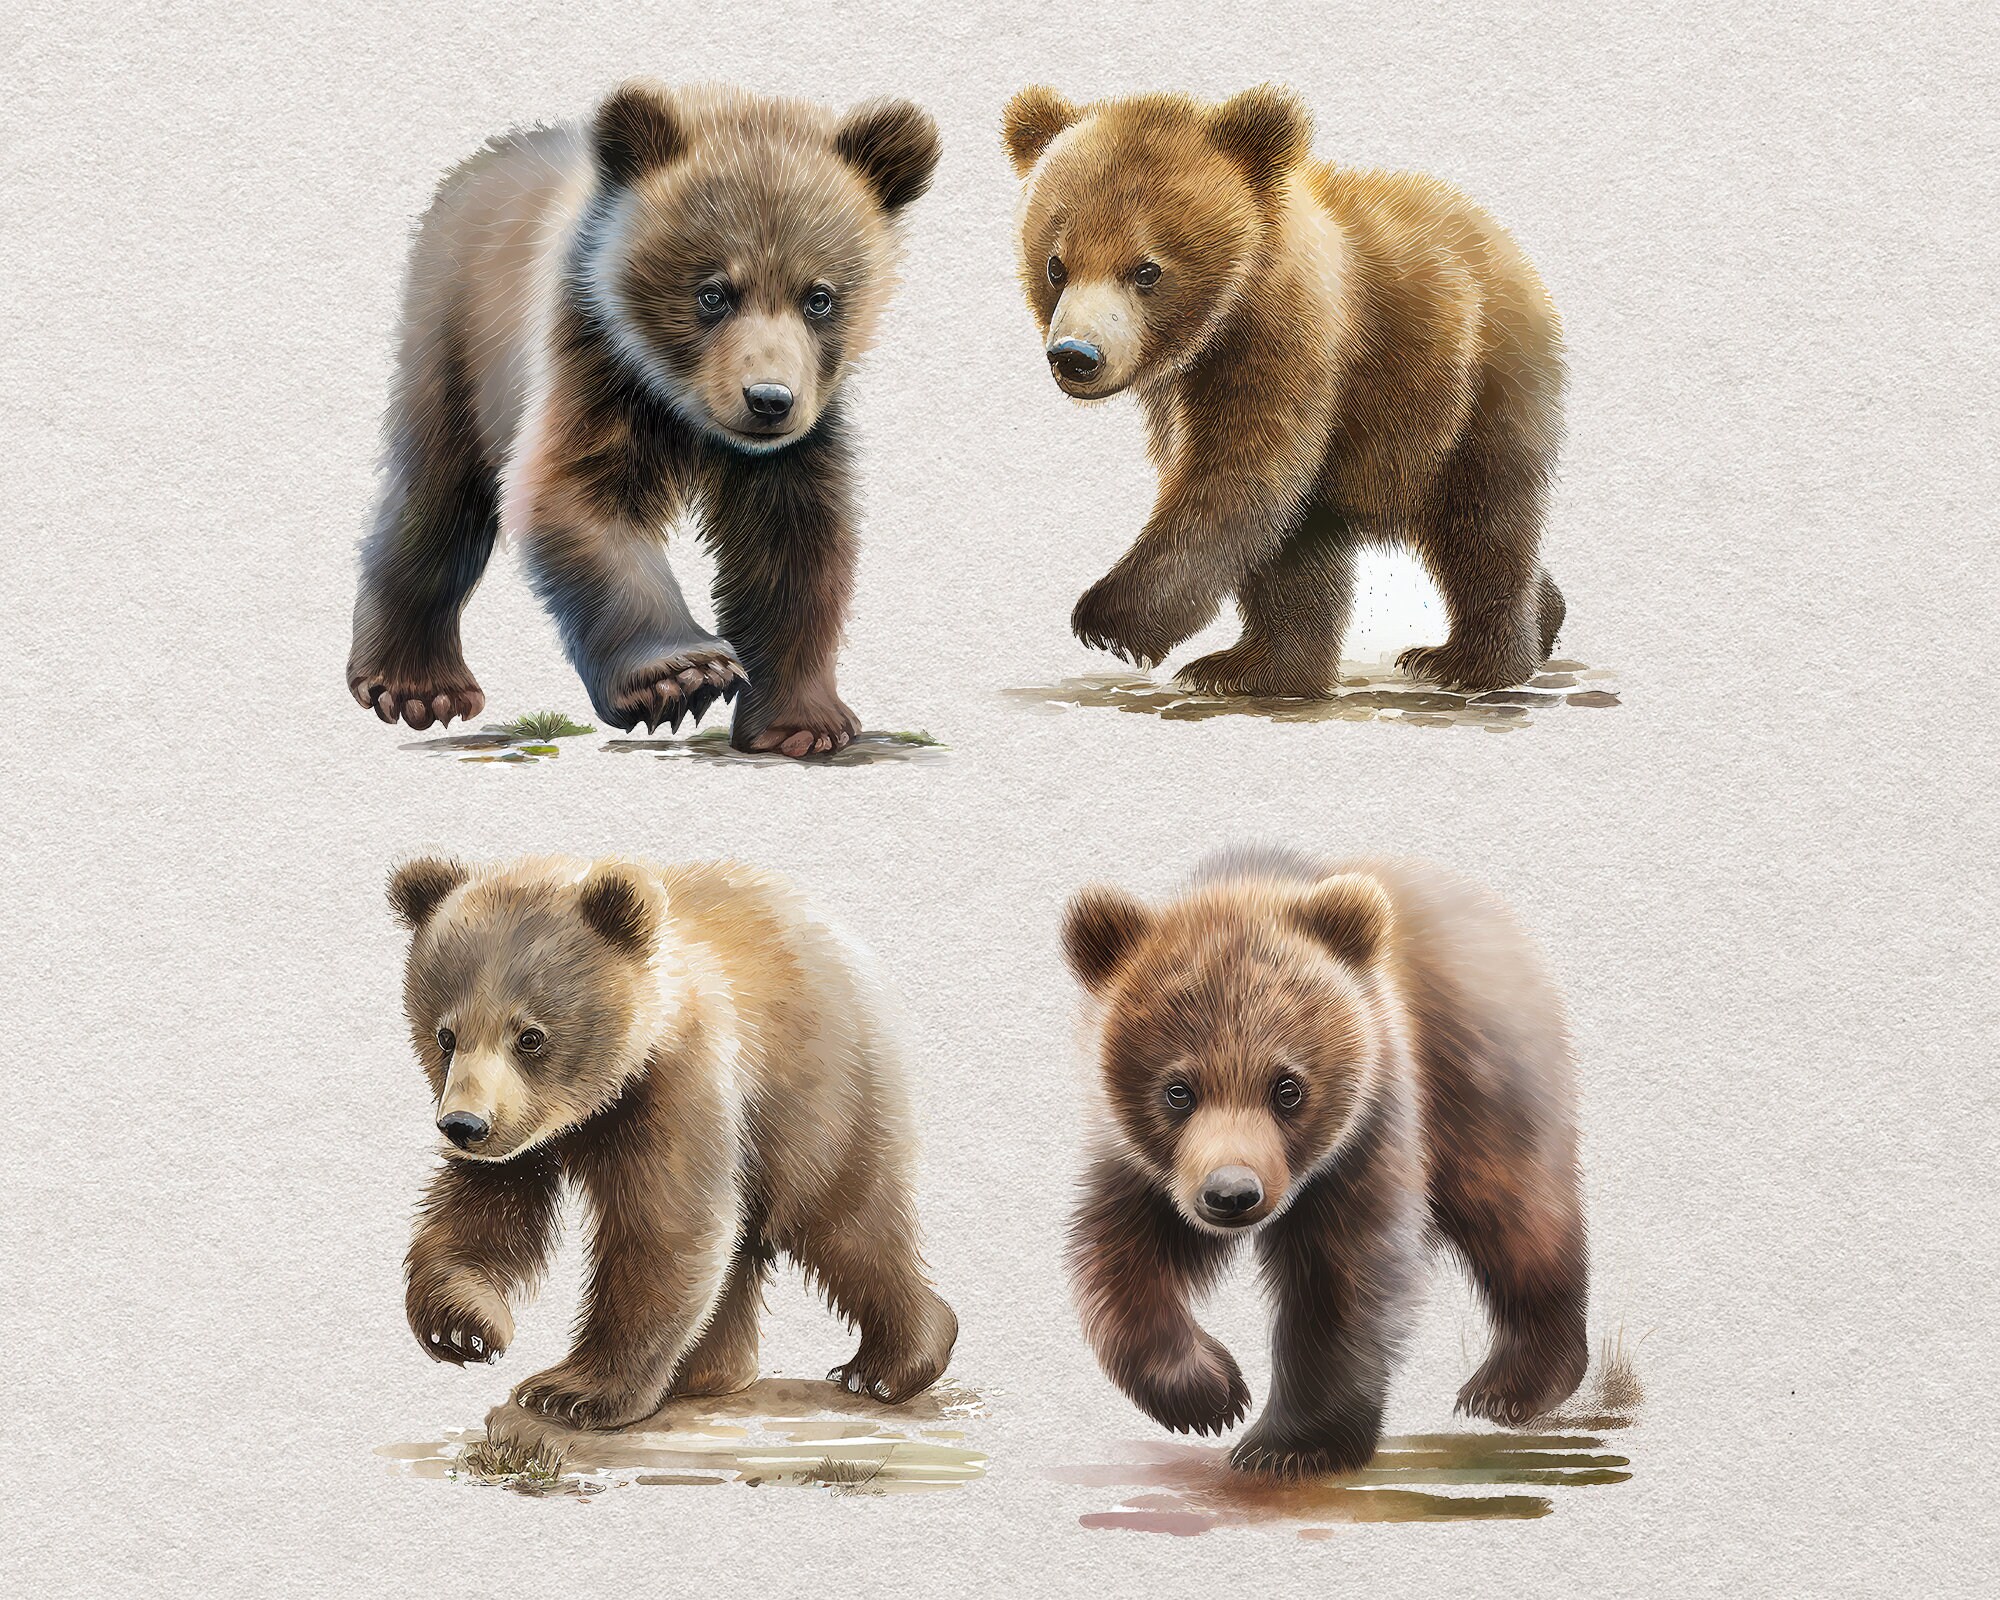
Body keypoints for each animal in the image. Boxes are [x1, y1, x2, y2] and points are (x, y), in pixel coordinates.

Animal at [347, 82, 941, 757]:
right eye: (712, 292)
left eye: (820, 298)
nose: (768, 399)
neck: (682, 411)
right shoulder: (592, 359)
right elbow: (574, 494)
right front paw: (684, 676)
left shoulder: (804, 435)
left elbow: (795, 543)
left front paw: (804, 723)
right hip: (455, 332)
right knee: (437, 487)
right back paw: (418, 687)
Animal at [388, 853, 958, 1428]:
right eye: (446, 1036)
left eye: (530, 1035)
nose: (464, 1124)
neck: (599, 1102)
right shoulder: (523, 1145)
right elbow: (480, 1218)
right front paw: (468, 1327)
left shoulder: (676, 1086)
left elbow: (667, 1228)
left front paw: (570, 1391)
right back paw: (707, 1372)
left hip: (818, 1097)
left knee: (845, 1224)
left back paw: (887, 1366)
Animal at [1003, 85, 1568, 696]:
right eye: (1056, 265)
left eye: (1147, 269)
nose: (1075, 355)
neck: (1219, 321)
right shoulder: (1187, 388)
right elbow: (1279, 527)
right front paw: (1251, 667)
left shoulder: (1291, 345)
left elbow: (1236, 479)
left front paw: (1110, 618)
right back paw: (1545, 615)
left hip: (1478, 383)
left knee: (1484, 519)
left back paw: (1468, 660)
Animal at [1061, 847, 1587, 1476]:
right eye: (1178, 1090)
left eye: (1287, 1088)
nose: (1232, 1193)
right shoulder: (1140, 1165)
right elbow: (1120, 1256)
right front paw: (1209, 1394)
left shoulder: (1367, 1131)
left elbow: (1346, 1275)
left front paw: (1287, 1445)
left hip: (1482, 1081)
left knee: (1517, 1215)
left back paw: (1511, 1385)